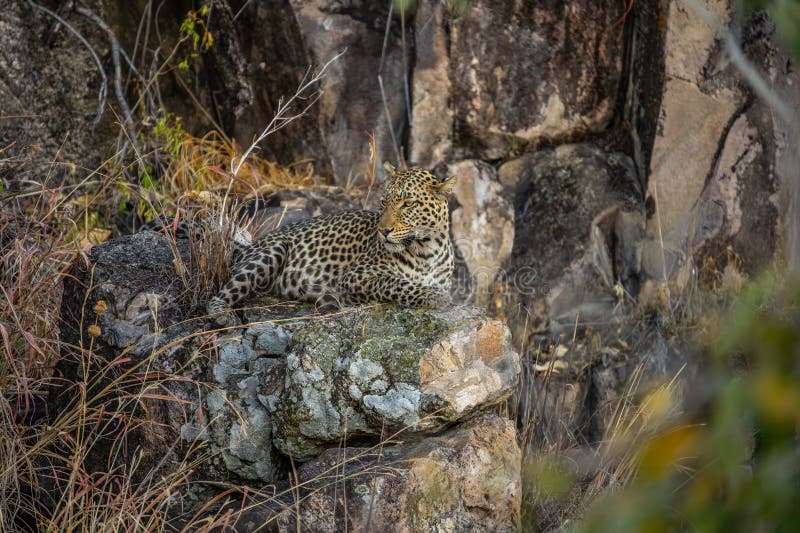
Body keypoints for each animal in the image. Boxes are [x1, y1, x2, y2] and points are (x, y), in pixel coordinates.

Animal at [195, 163, 457, 325]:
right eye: (384, 202)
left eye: (408, 204)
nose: (383, 231)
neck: (426, 250)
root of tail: (250, 245)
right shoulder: (356, 275)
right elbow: (395, 283)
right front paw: (435, 297)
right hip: (272, 251)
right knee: (218, 296)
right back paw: (222, 315)